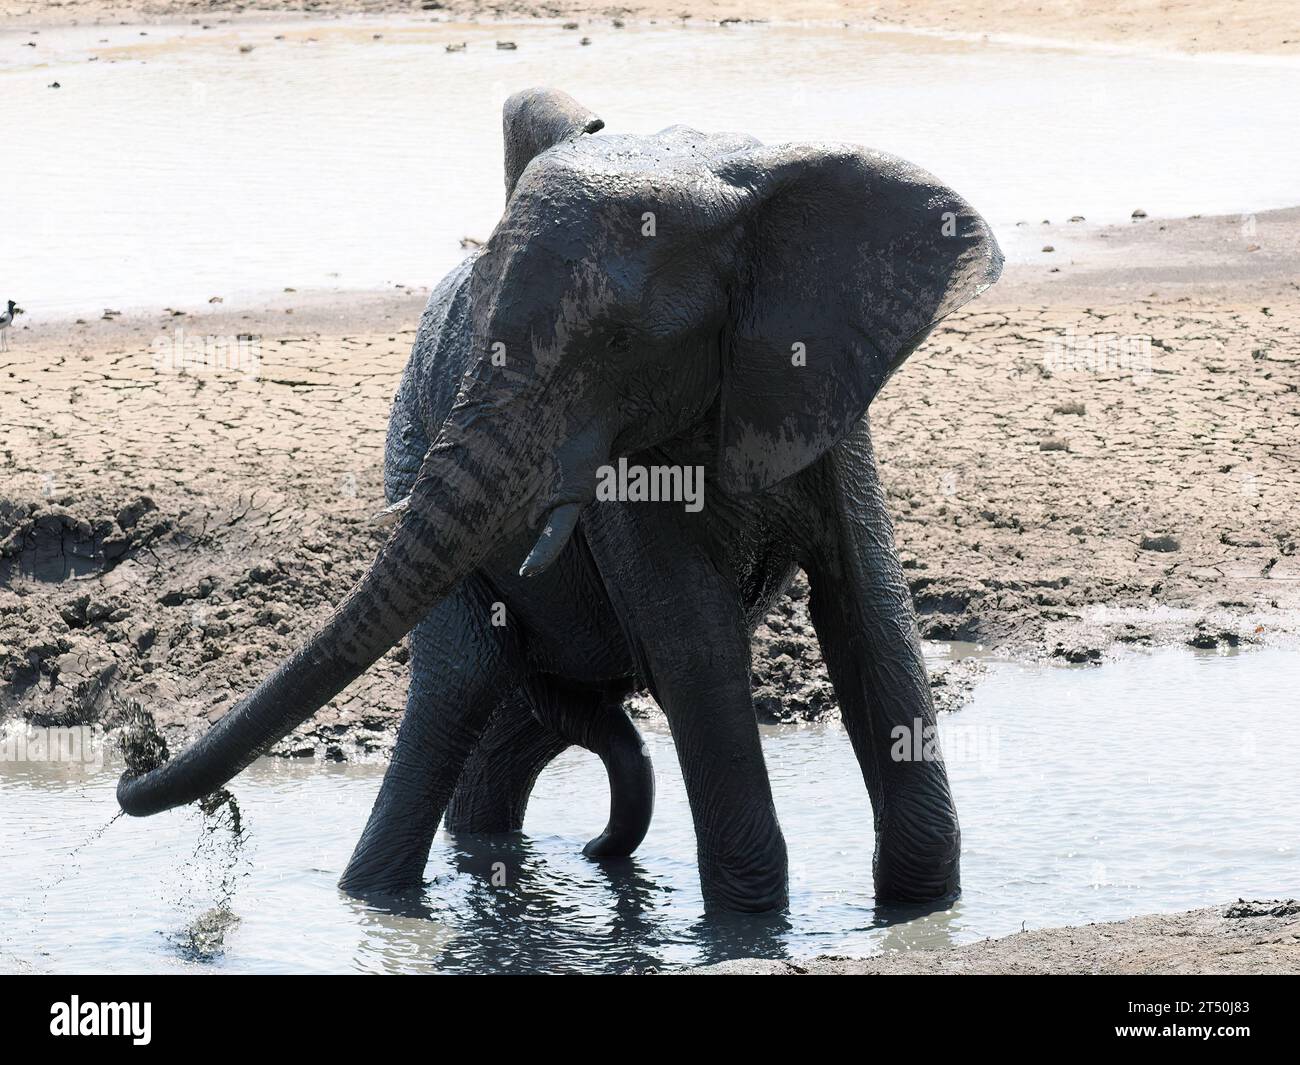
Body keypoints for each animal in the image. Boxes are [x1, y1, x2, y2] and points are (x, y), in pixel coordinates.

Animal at [117, 87, 1003, 913]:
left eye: (620, 343)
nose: (135, 754)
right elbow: (696, 641)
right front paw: (751, 927)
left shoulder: (825, 393)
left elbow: (869, 611)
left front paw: (919, 911)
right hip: (412, 457)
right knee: (456, 689)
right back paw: (387, 897)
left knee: (523, 720)